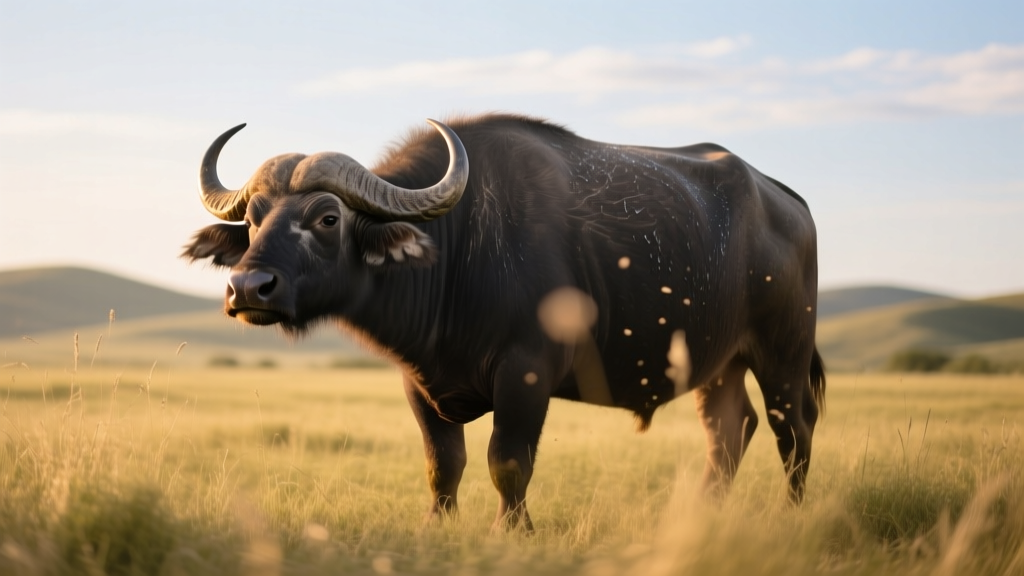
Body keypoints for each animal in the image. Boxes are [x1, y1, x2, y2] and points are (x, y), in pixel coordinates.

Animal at [183, 114, 825, 530]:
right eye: (255, 217)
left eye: (327, 217)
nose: (248, 288)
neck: (458, 249)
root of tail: (787, 200)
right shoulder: (419, 383)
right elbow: (443, 465)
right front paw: (438, 528)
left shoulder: (527, 373)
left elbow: (507, 462)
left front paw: (512, 531)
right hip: (719, 363)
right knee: (730, 431)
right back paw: (707, 512)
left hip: (783, 352)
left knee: (792, 430)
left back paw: (790, 514)